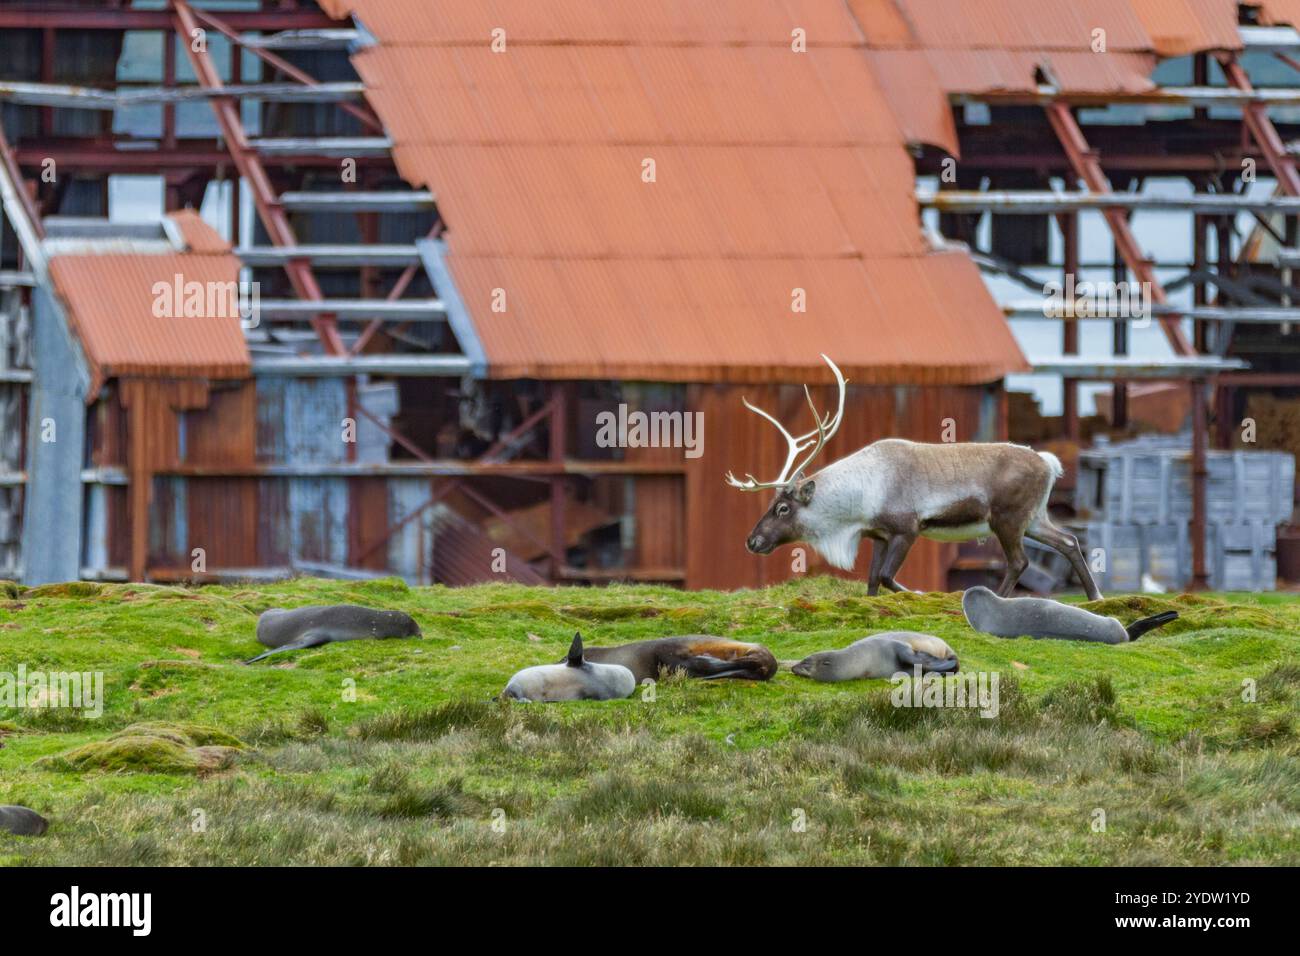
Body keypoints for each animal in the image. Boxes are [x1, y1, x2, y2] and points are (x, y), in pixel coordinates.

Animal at [724, 355, 1103, 600]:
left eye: (783, 508)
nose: (751, 541)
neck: (858, 499)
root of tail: (1049, 462)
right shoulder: (878, 536)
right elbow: (872, 582)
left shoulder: (907, 529)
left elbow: (888, 577)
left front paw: (918, 591)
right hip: (1034, 518)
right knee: (1069, 541)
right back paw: (1095, 596)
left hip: (1007, 519)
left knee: (1019, 561)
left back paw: (998, 597)